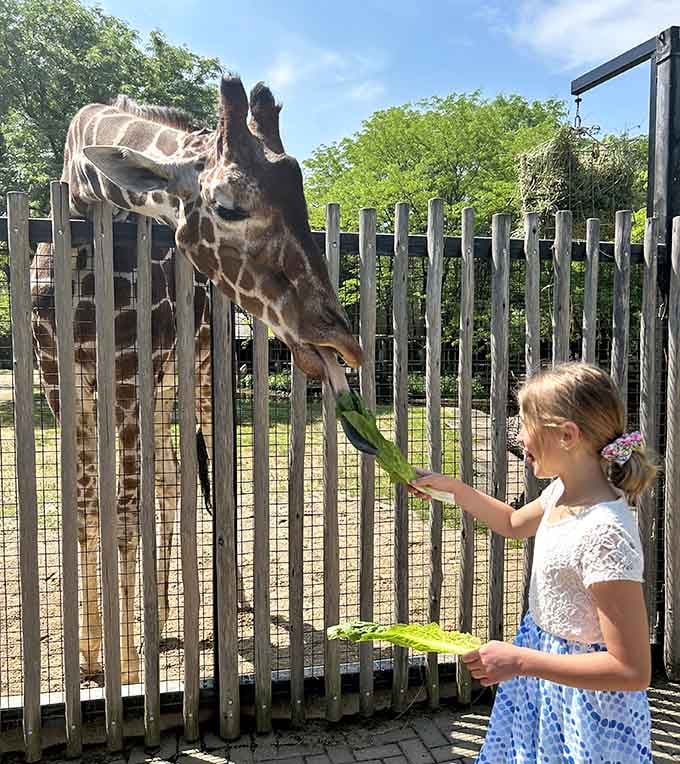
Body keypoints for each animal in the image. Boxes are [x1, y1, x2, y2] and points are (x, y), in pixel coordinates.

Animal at [31, 74, 361, 685]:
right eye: (228, 206)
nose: (341, 339)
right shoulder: (59, 379)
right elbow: (87, 507)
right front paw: (89, 655)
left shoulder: (129, 373)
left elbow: (126, 511)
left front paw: (126, 667)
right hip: (161, 389)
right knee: (169, 480)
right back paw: (160, 617)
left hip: (200, 377)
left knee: (198, 480)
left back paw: (225, 604)